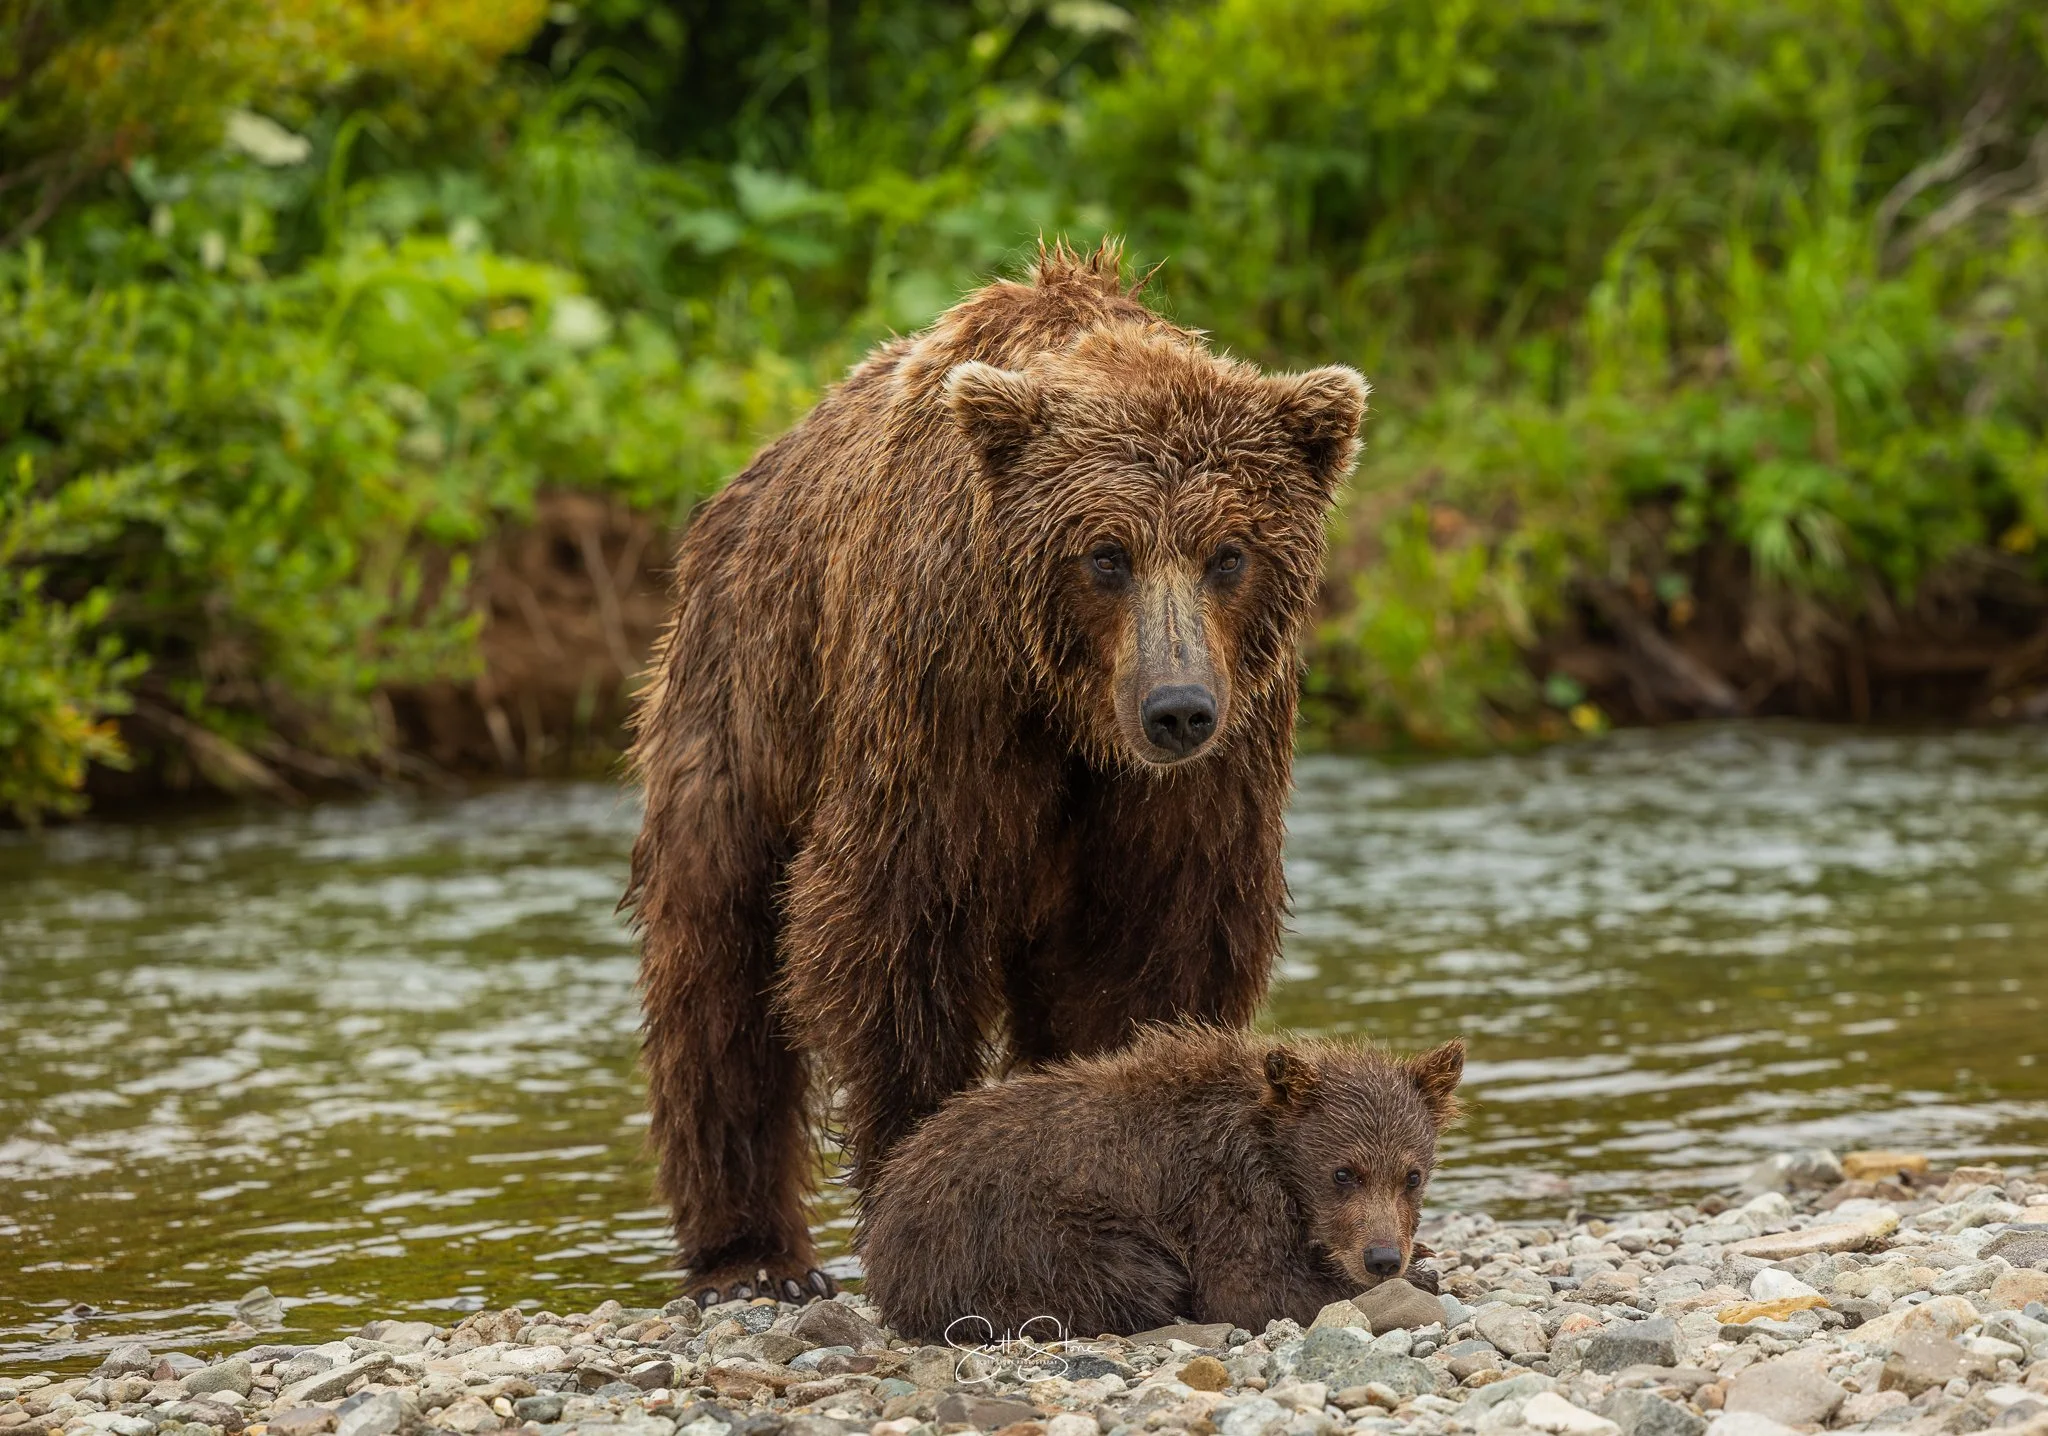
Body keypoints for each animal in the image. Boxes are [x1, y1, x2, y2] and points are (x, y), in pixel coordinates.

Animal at [623, 239, 1370, 1305]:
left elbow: (1155, 942)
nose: (1178, 708)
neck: (1071, 711)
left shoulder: (1205, 772)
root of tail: (736, 491)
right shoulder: (944, 700)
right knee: (715, 956)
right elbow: (897, 927)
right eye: (1105, 554)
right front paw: (911, 1170)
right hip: (743, 698)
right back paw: (751, 1255)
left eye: (1229, 553)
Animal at [859, 1024, 1466, 1340]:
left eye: (1412, 1175)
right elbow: (1248, 1289)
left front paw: (1421, 1257)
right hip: (1016, 1237)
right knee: (1133, 1277)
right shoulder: (1222, 1191)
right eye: (1343, 1172)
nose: (1382, 1257)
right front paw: (1420, 1279)